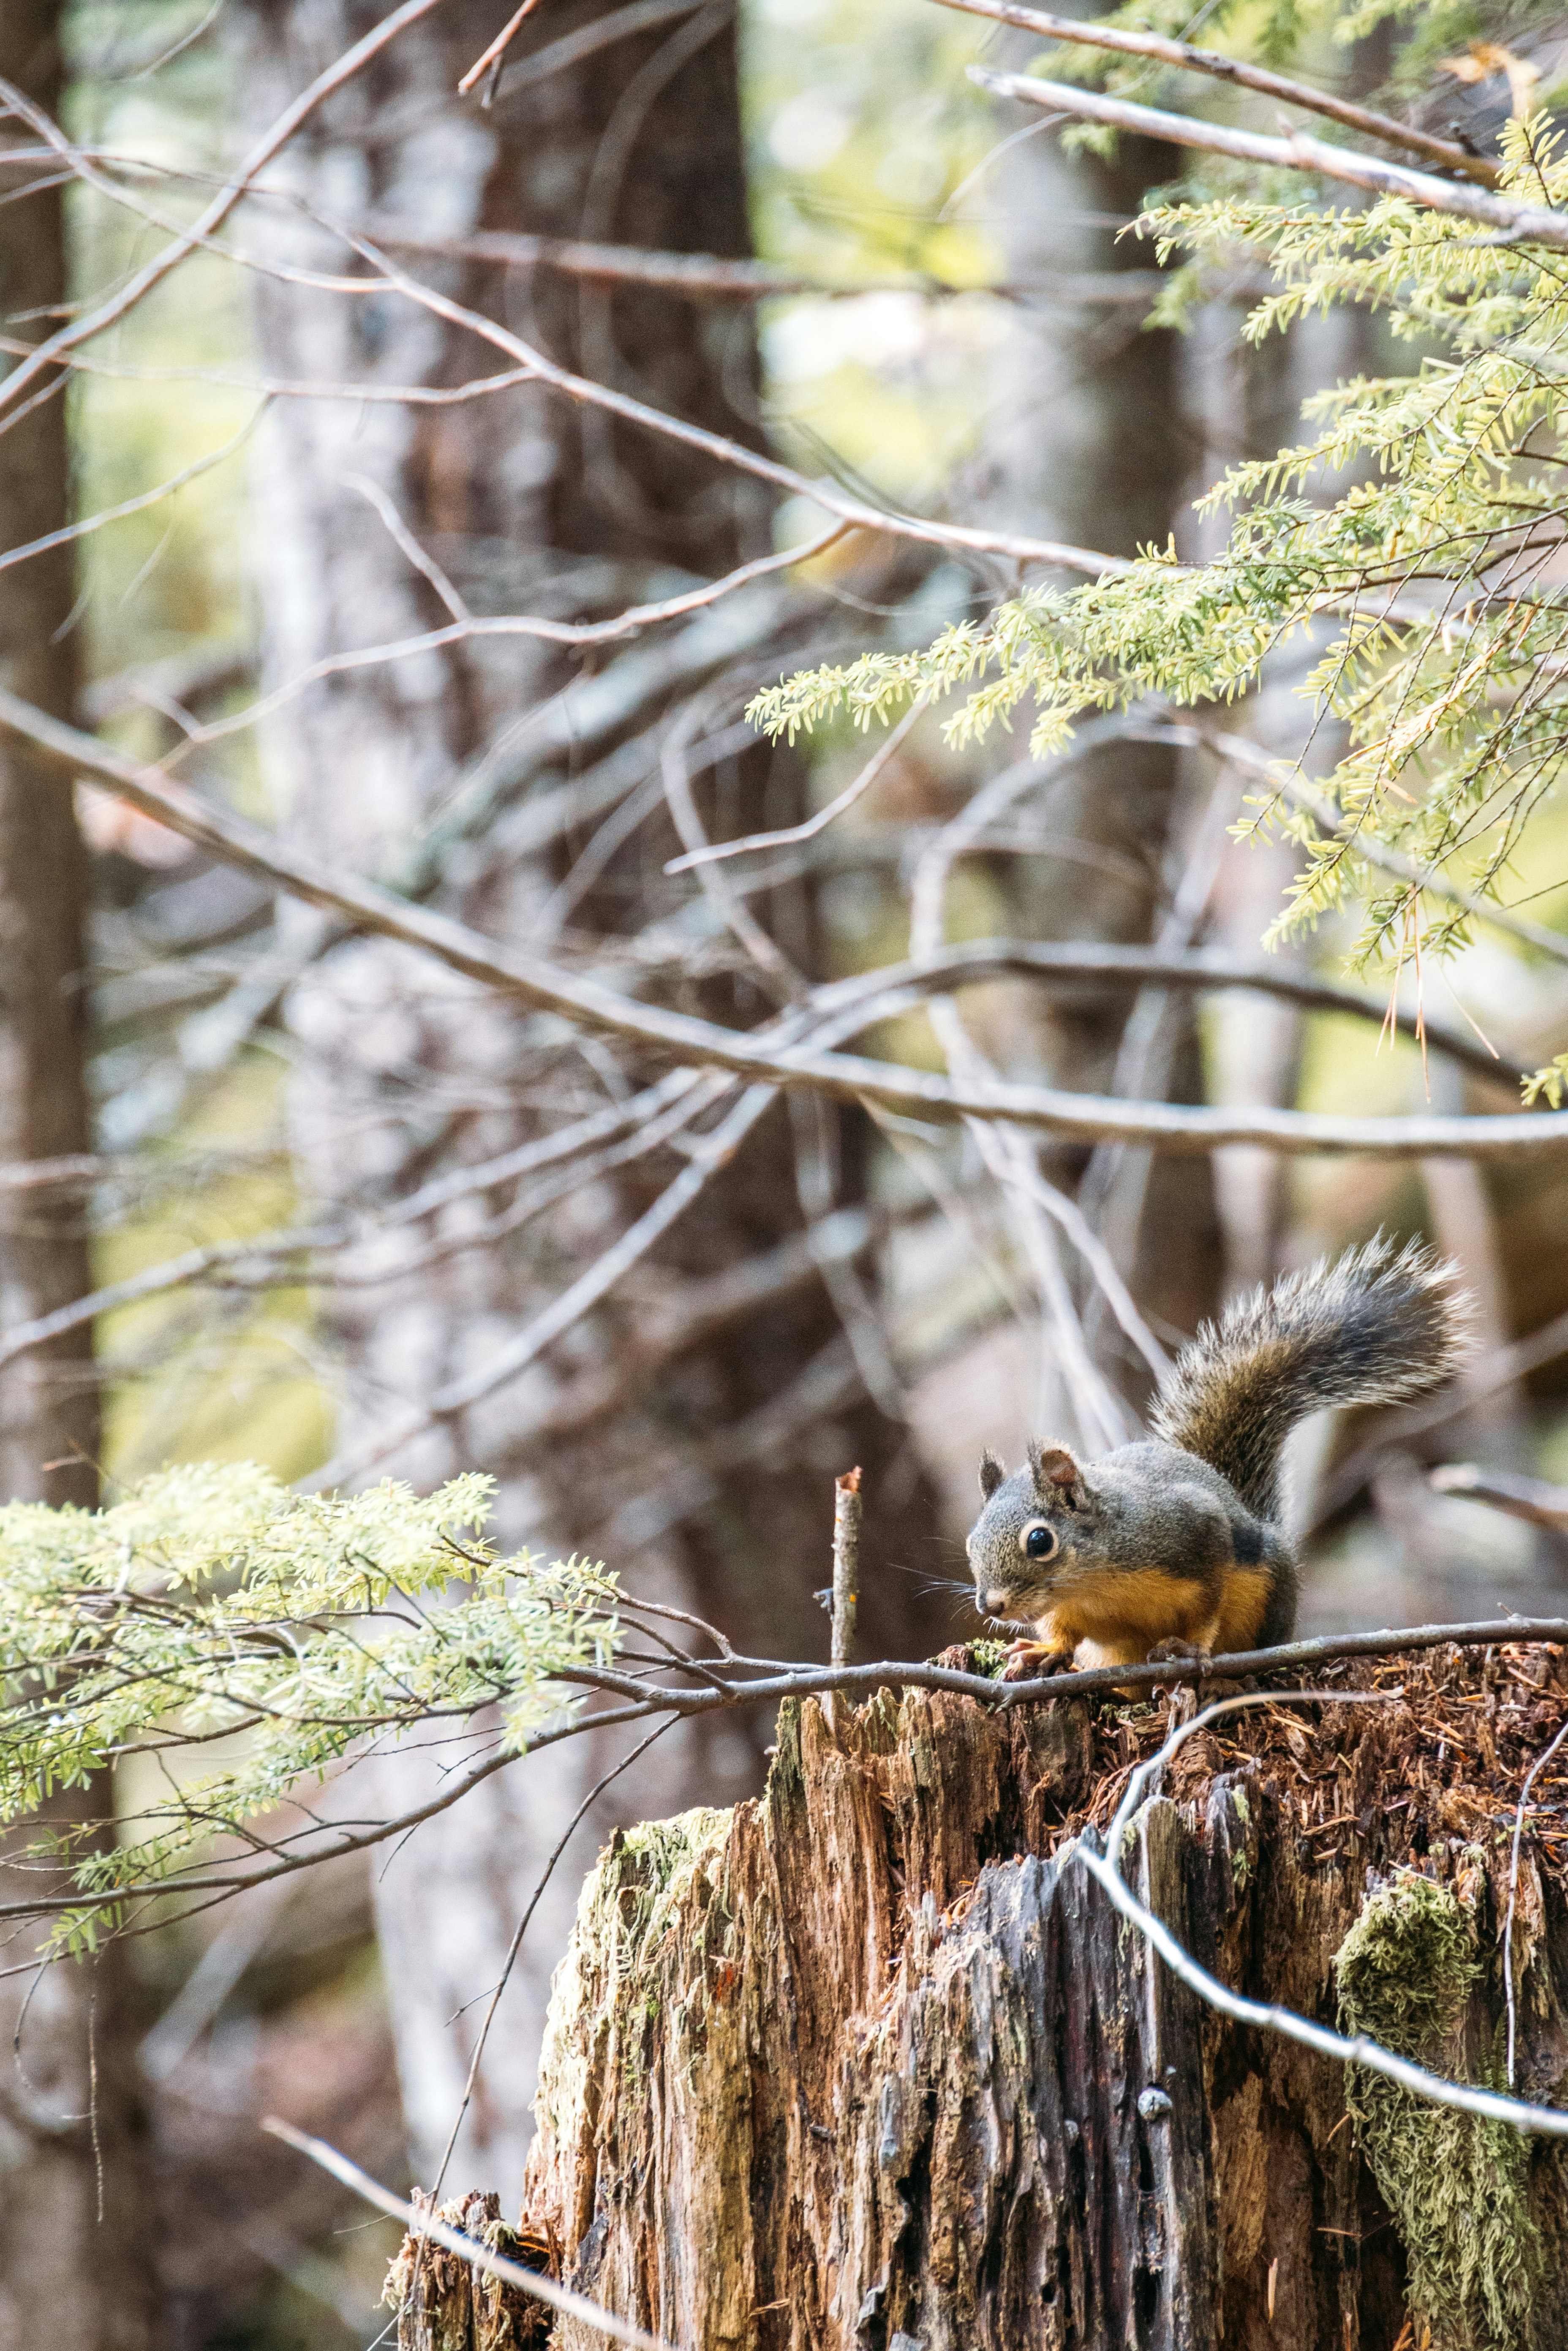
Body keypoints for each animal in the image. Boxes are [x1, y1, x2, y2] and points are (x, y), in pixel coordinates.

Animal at [966, 1237, 1471, 1678]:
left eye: (1040, 1541)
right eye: (971, 1543)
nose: (991, 1605)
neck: (1092, 1583)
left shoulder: (1195, 1534)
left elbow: (1207, 1607)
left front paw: (1190, 1647)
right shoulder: (1068, 1612)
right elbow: (1065, 1634)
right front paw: (1044, 1650)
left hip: (1272, 1589)